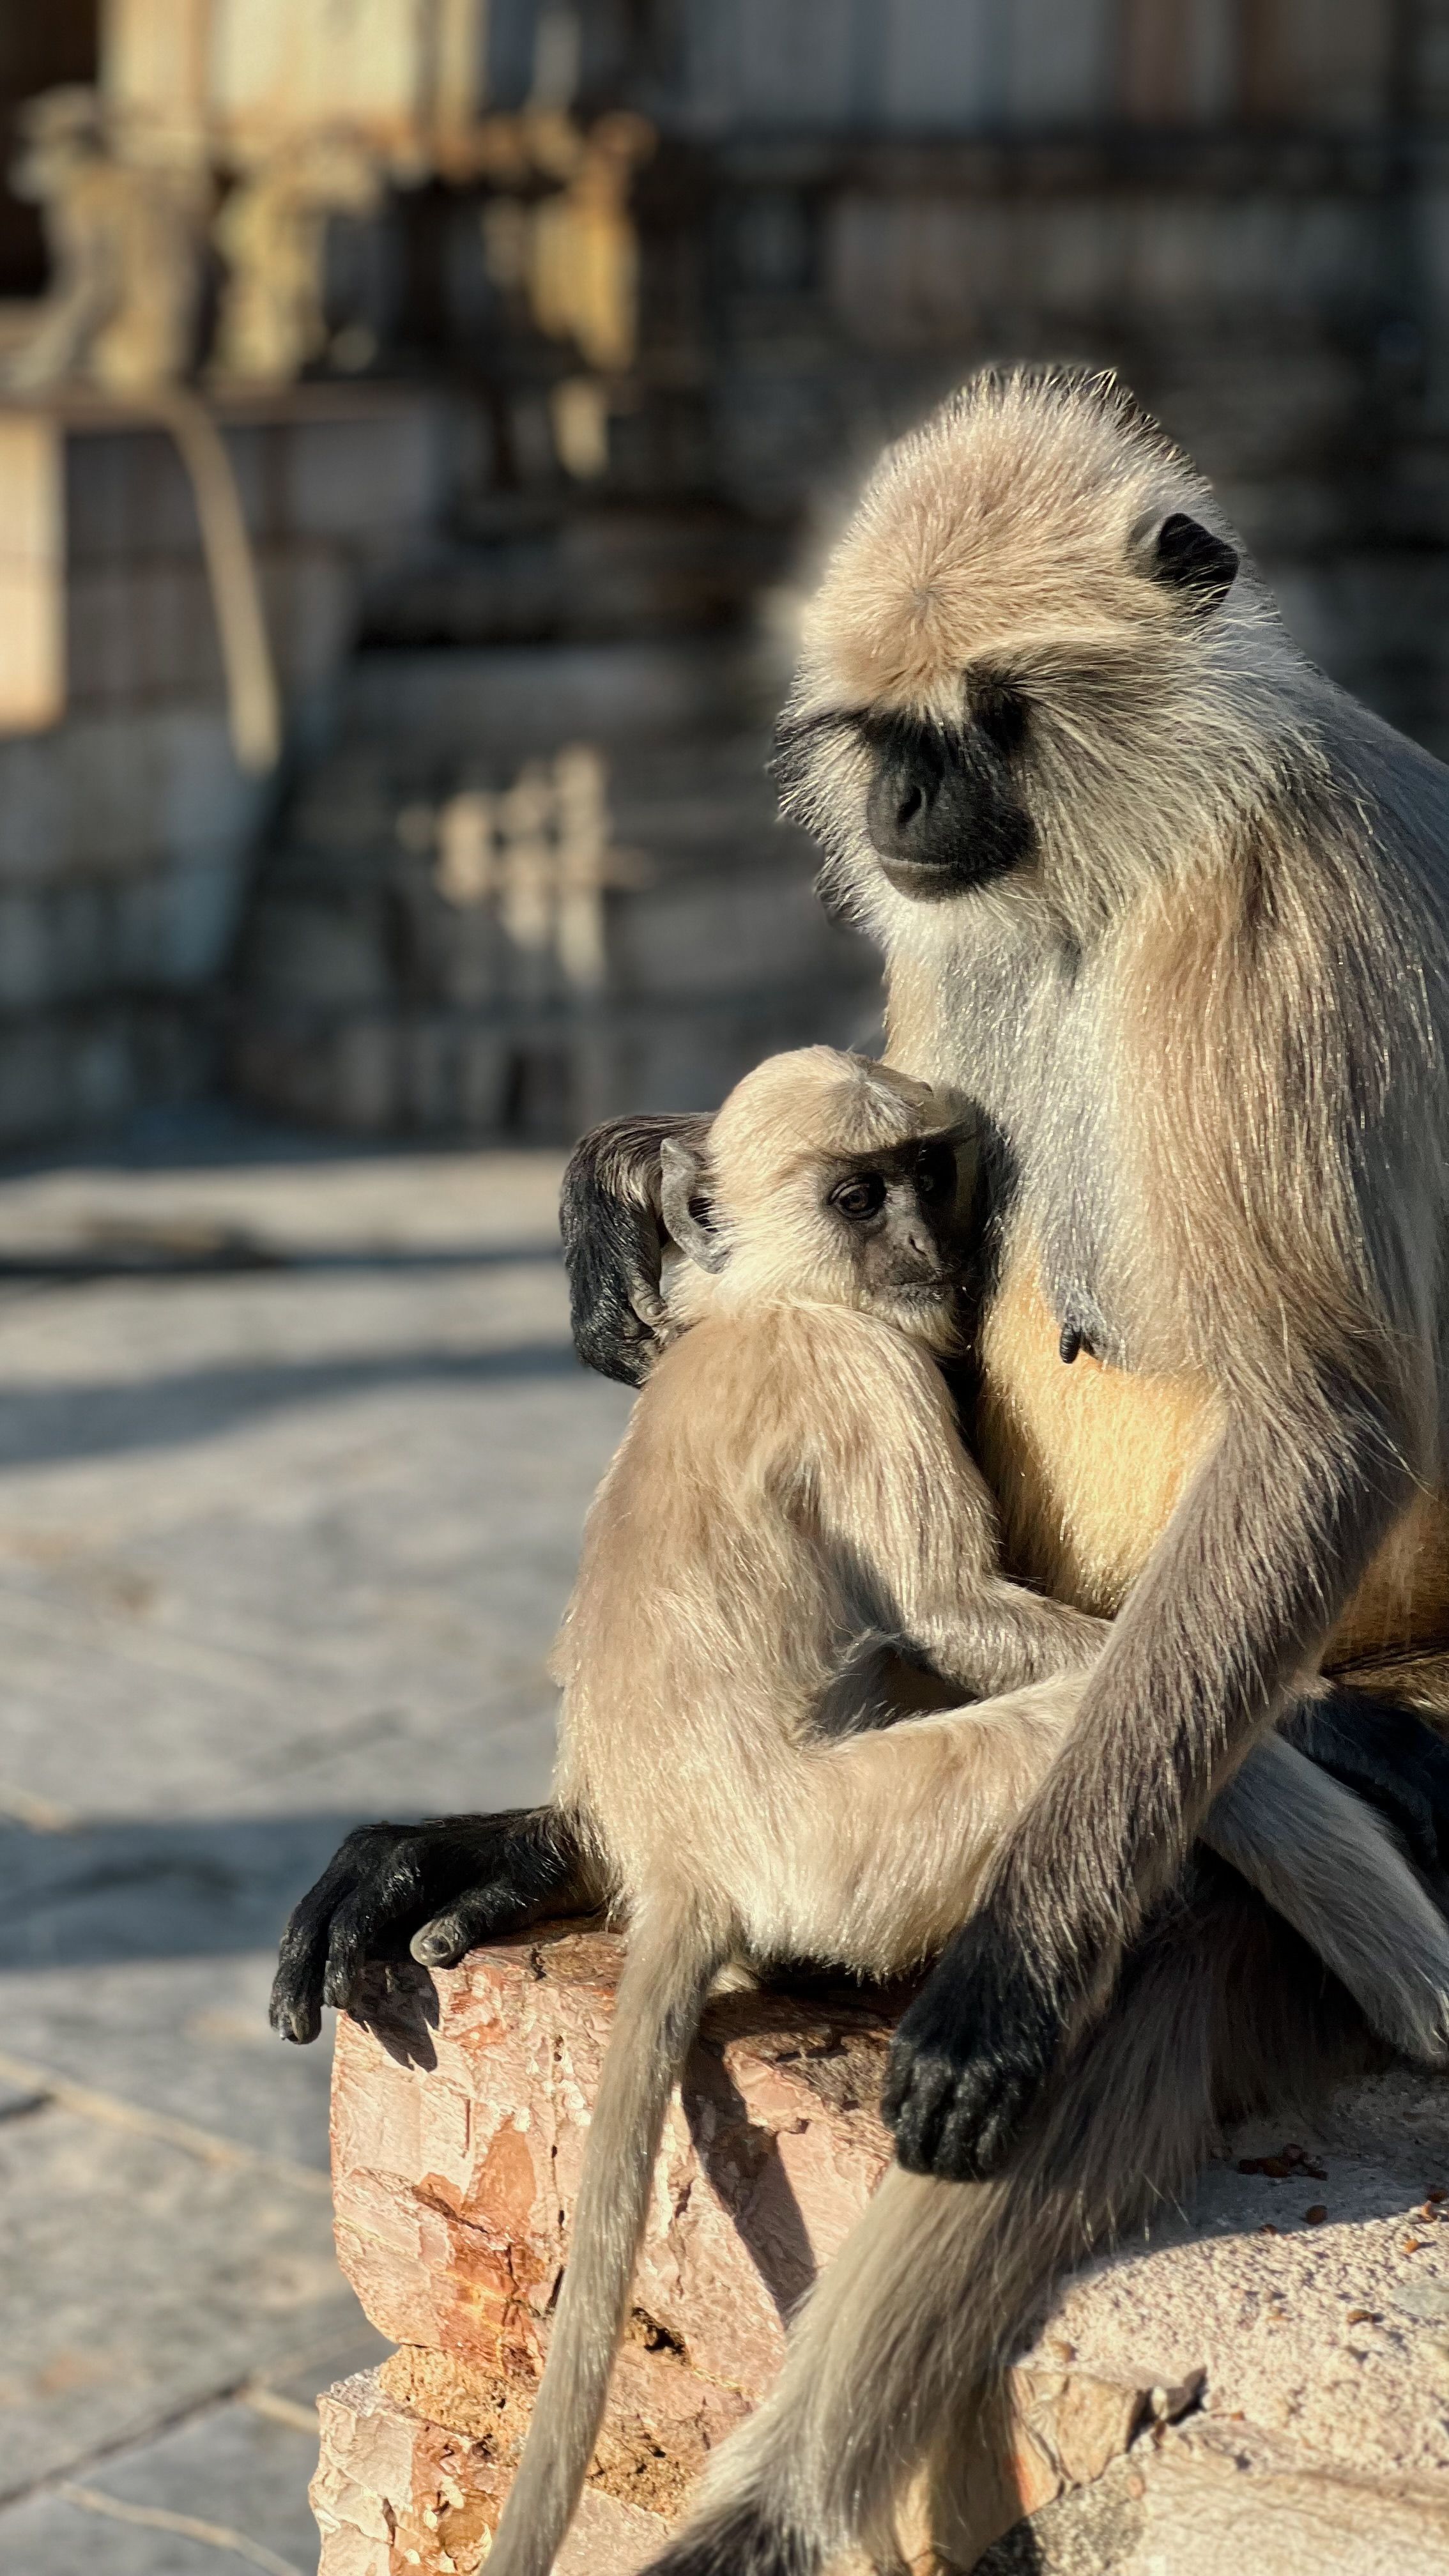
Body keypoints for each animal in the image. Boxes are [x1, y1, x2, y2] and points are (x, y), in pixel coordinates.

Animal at [421, 1044, 1449, 2576]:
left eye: (925, 1172)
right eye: (863, 1196)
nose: (928, 1245)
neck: (774, 1299)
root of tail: (682, 1864)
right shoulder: (863, 1377)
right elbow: (950, 1609)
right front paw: (1353, 1721)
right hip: (848, 1847)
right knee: (1101, 1738)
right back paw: (1413, 1980)